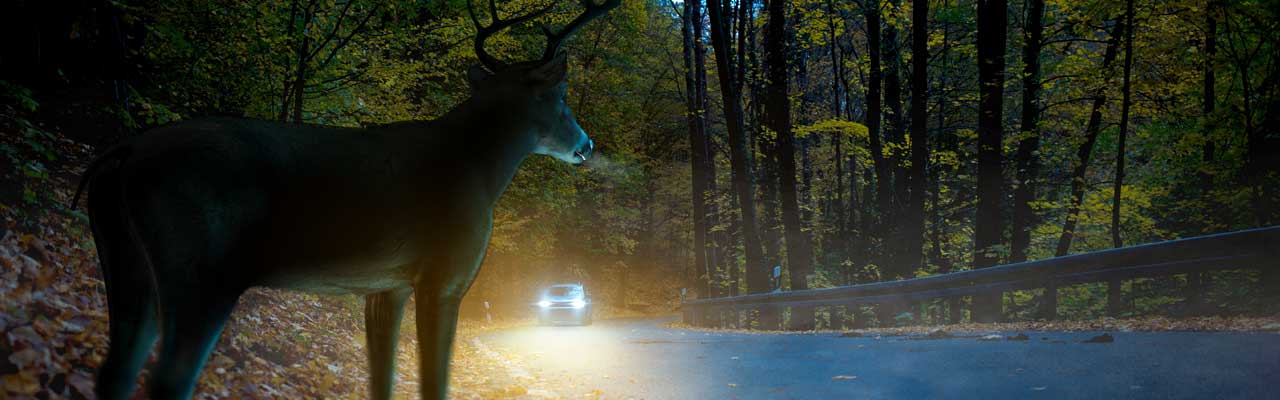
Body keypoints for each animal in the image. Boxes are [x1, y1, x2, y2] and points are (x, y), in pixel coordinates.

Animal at [71, 0, 619, 398]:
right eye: (562, 97)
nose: (587, 144)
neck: (480, 169)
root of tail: (124, 152)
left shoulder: (385, 284)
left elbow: (382, 383)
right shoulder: (445, 275)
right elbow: (433, 385)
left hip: (125, 259)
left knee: (115, 373)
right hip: (202, 269)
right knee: (167, 381)